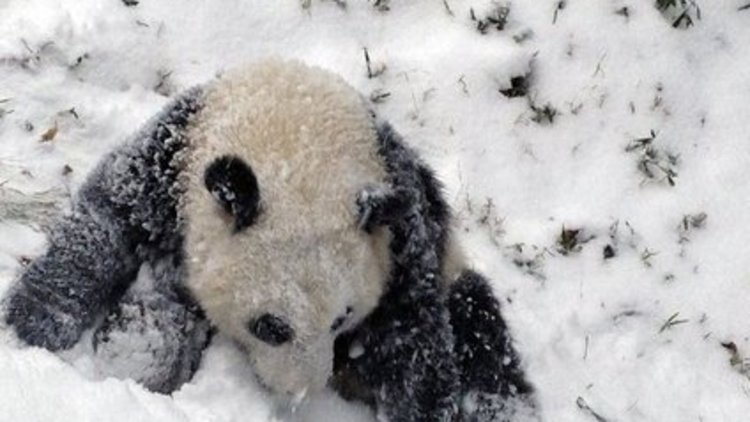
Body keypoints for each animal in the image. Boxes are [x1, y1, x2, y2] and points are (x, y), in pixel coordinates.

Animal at [3, 59, 534, 421]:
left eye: (342, 318)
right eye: (271, 327)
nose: (301, 391)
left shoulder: (401, 235)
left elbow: (414, 341)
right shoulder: (170, 158)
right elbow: (104, 222)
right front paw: (34, 327)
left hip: (453, 268)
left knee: (478, 328)